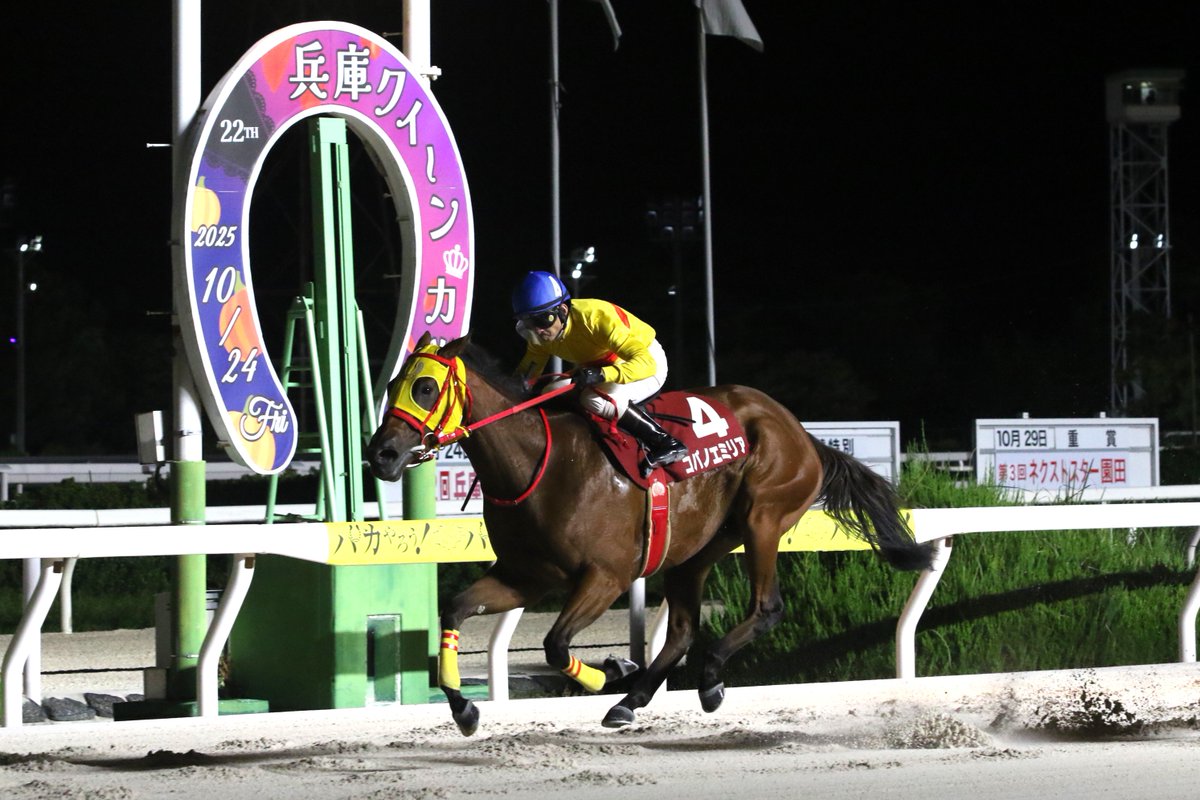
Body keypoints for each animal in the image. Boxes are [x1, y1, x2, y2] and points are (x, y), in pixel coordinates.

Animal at [366, 333, 933, 735]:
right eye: (392, 386)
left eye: (425, 387)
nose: (381, 455)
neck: (540, 464)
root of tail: (802, 432)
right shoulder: (525, 575)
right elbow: (456, 611)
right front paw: (463, 708)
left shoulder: (606, 576)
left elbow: (555, 644)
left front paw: (613, 669)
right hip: (696, 547)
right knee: (681, 628)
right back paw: (636, 699)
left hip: (764, 516)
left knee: (766, 607)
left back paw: (701, 679)